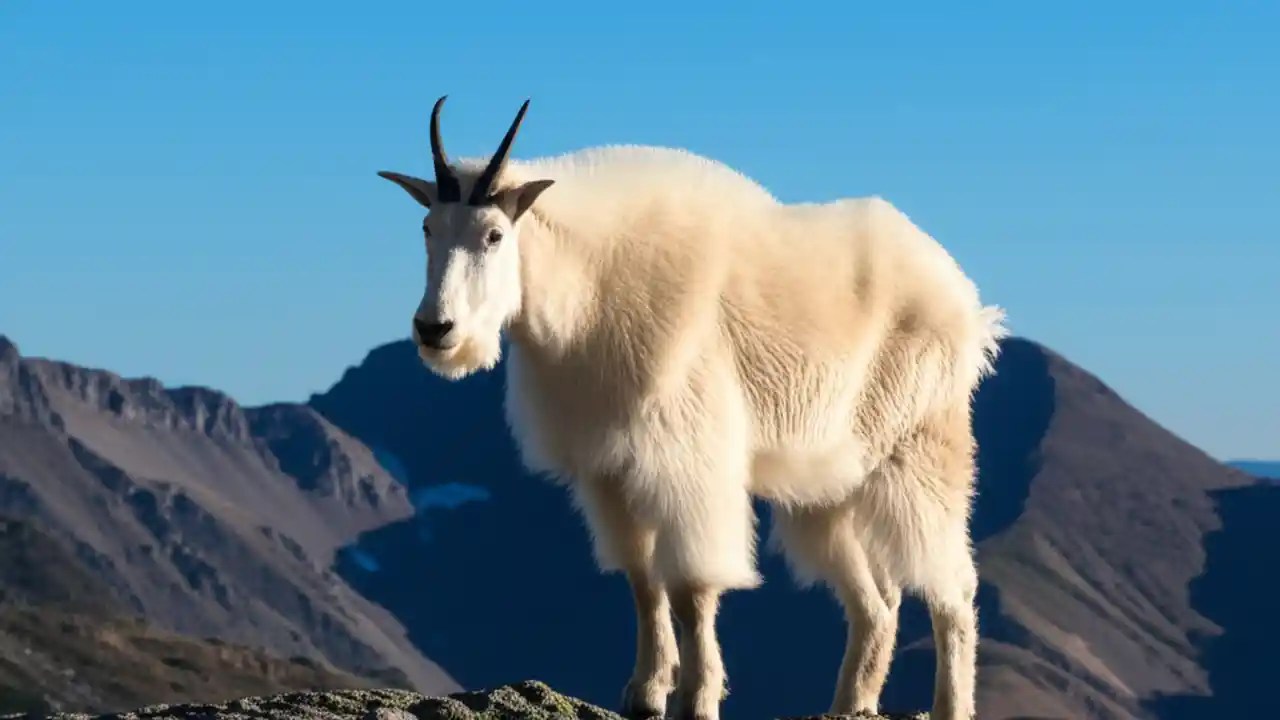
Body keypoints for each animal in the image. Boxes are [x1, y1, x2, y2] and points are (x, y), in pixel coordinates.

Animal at [376, 96, 1006, 720]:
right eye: (428, 227)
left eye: (494, 235)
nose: (435, 329)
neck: (590, 291)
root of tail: (966, 303)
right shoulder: (608, 469)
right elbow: (641, 579)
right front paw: (646, 691)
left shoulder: (685, 461)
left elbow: (690, 587)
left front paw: (697, 697)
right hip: (828, 485)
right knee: (877, 600)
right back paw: (849, 703)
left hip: (919, 451)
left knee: (953, 584)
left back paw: (950, 705)